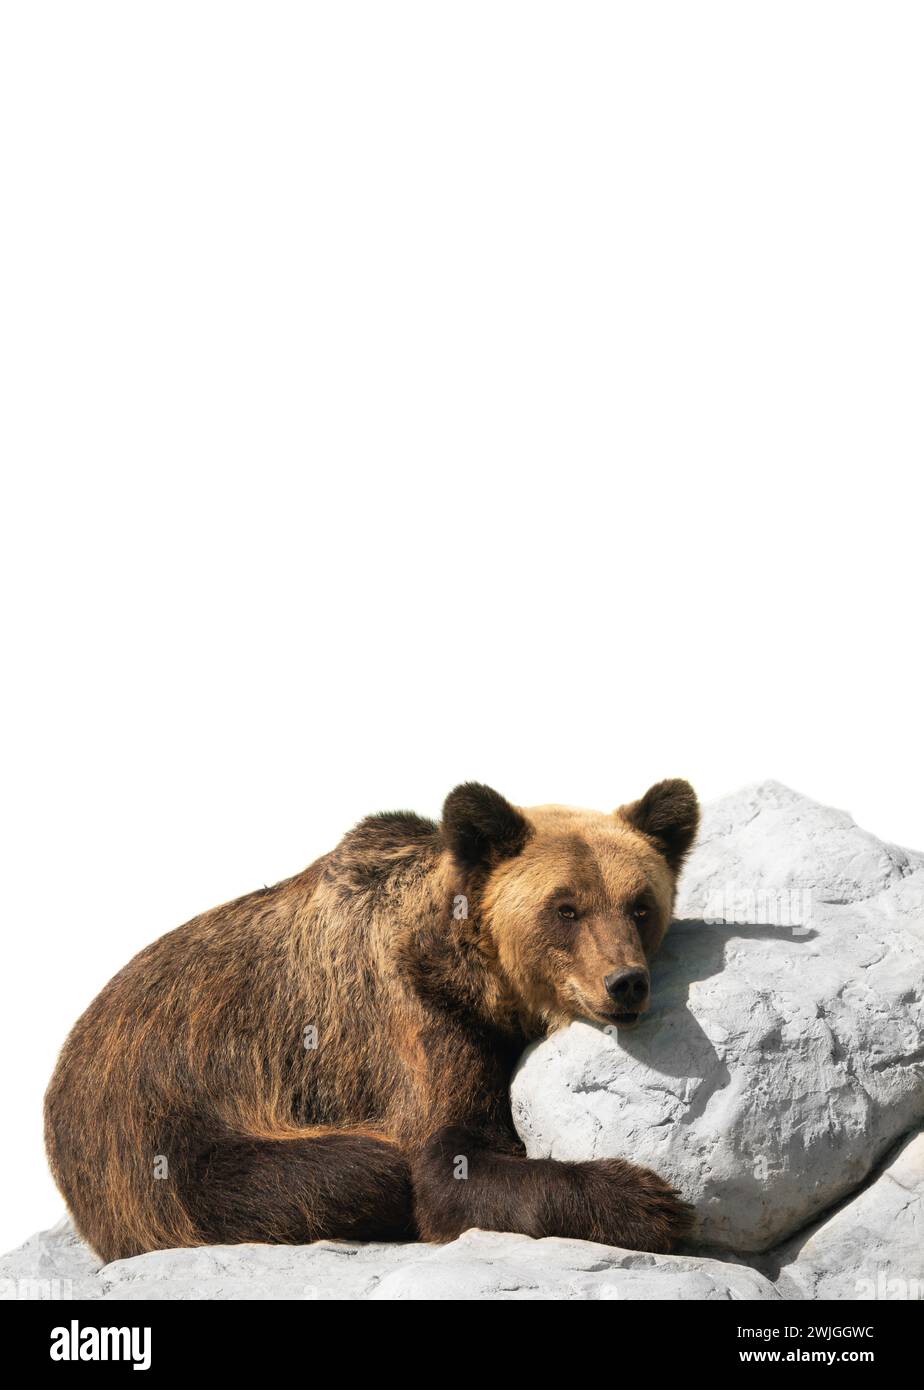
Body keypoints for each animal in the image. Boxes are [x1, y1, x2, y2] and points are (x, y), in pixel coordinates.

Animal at [44, 778, 700, 1263]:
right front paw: (648, 1200)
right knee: (360, 1169)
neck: (472, 976)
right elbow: (444, 1165)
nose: (625, 981)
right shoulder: (414, 1023)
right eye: (565, 908)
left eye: (640, 905)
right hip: (162, 1128)